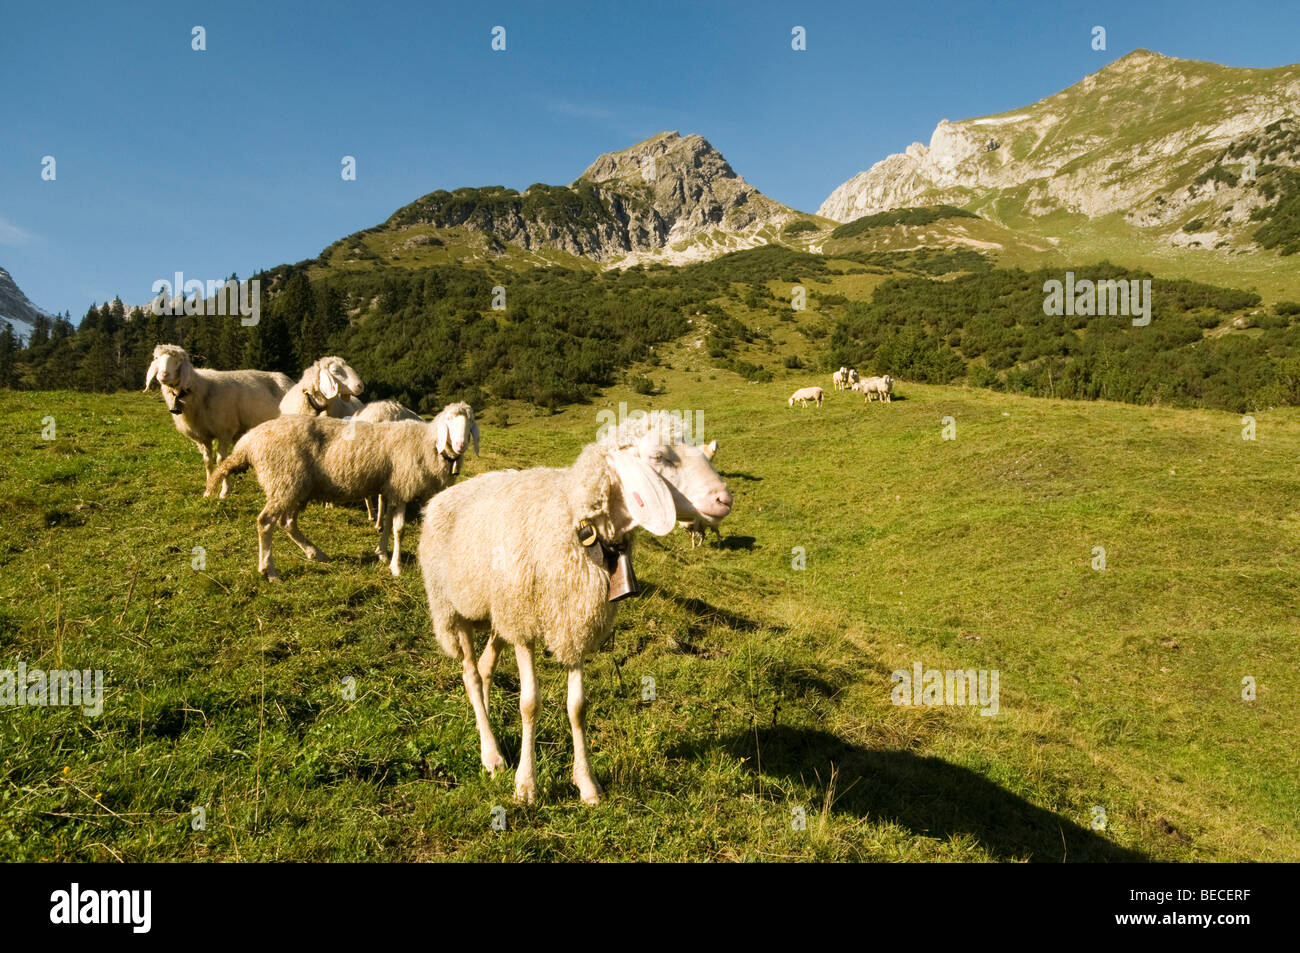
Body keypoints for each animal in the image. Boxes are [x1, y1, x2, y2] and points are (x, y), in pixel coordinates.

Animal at [143, 344, 293, 498]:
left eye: (179, 360)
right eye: (156, 358)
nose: (163, 375)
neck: (199, 388)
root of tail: (286, 379)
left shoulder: (225, 431)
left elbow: (221, 461)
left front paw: (225, 491)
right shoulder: (202, 436)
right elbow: (207, 462)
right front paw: (208, 491)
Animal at [206, 401, 478, 580]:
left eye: (470, 422)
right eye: (450, 421)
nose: (460, 444)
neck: (428, 443)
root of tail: (248, 442)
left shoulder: (395, 487)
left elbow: (389, 522)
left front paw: (383, 553)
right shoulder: (402, 485)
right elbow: (399, 529)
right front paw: (396, 566)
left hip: (297, 487)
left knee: (287, 522)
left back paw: (315, 553)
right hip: (284, 481)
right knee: (265, 522)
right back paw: (268, 570)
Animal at [418, 410, 732, 805]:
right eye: (659, 457)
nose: (725, 499)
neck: (577, 521)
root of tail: (441, 497)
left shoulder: (575, 621)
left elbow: (578, 707)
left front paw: (587, 783)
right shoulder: (525, 623)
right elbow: (530, 703)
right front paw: (526, 785)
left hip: (498, 611)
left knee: (487, 667)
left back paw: (486, 723)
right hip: (453, 608)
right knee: (471, 675)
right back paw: (490, 754)